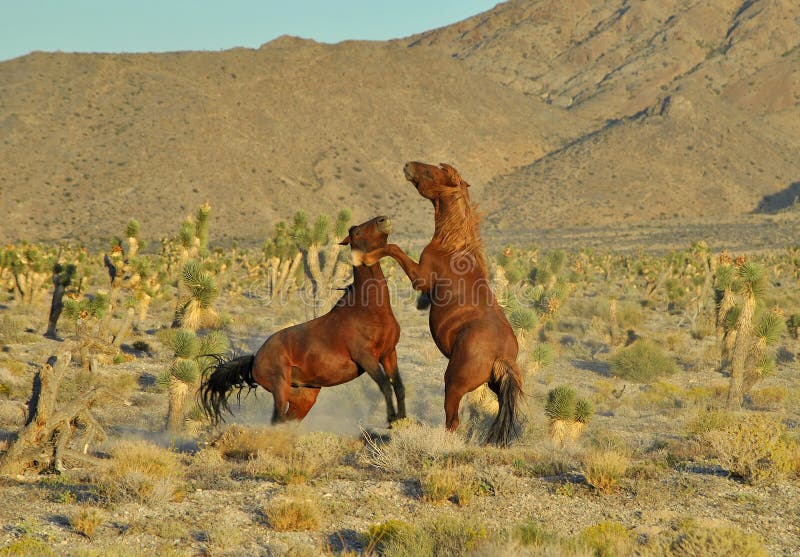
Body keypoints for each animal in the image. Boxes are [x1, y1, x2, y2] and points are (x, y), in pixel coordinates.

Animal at [199, 216, 405, 427]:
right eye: (356, 232)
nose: (383, 220)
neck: (368, 310)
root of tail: (255, 358)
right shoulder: (366, 357)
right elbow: (385, 385)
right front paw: (391, 418)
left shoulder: (389, 354)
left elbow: (398, 386)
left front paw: (401, 418)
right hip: (281, 388)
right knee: (277, 419)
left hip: (306, 396)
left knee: (287, 421)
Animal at [363, 162, 522, 445]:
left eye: (432, 172)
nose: (408, 166)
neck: (452, 245)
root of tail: (501, 355)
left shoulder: (420, 277)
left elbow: (394, 248)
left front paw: (368, 257)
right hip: (494, 386)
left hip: (453, 384)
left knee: (452, 421)